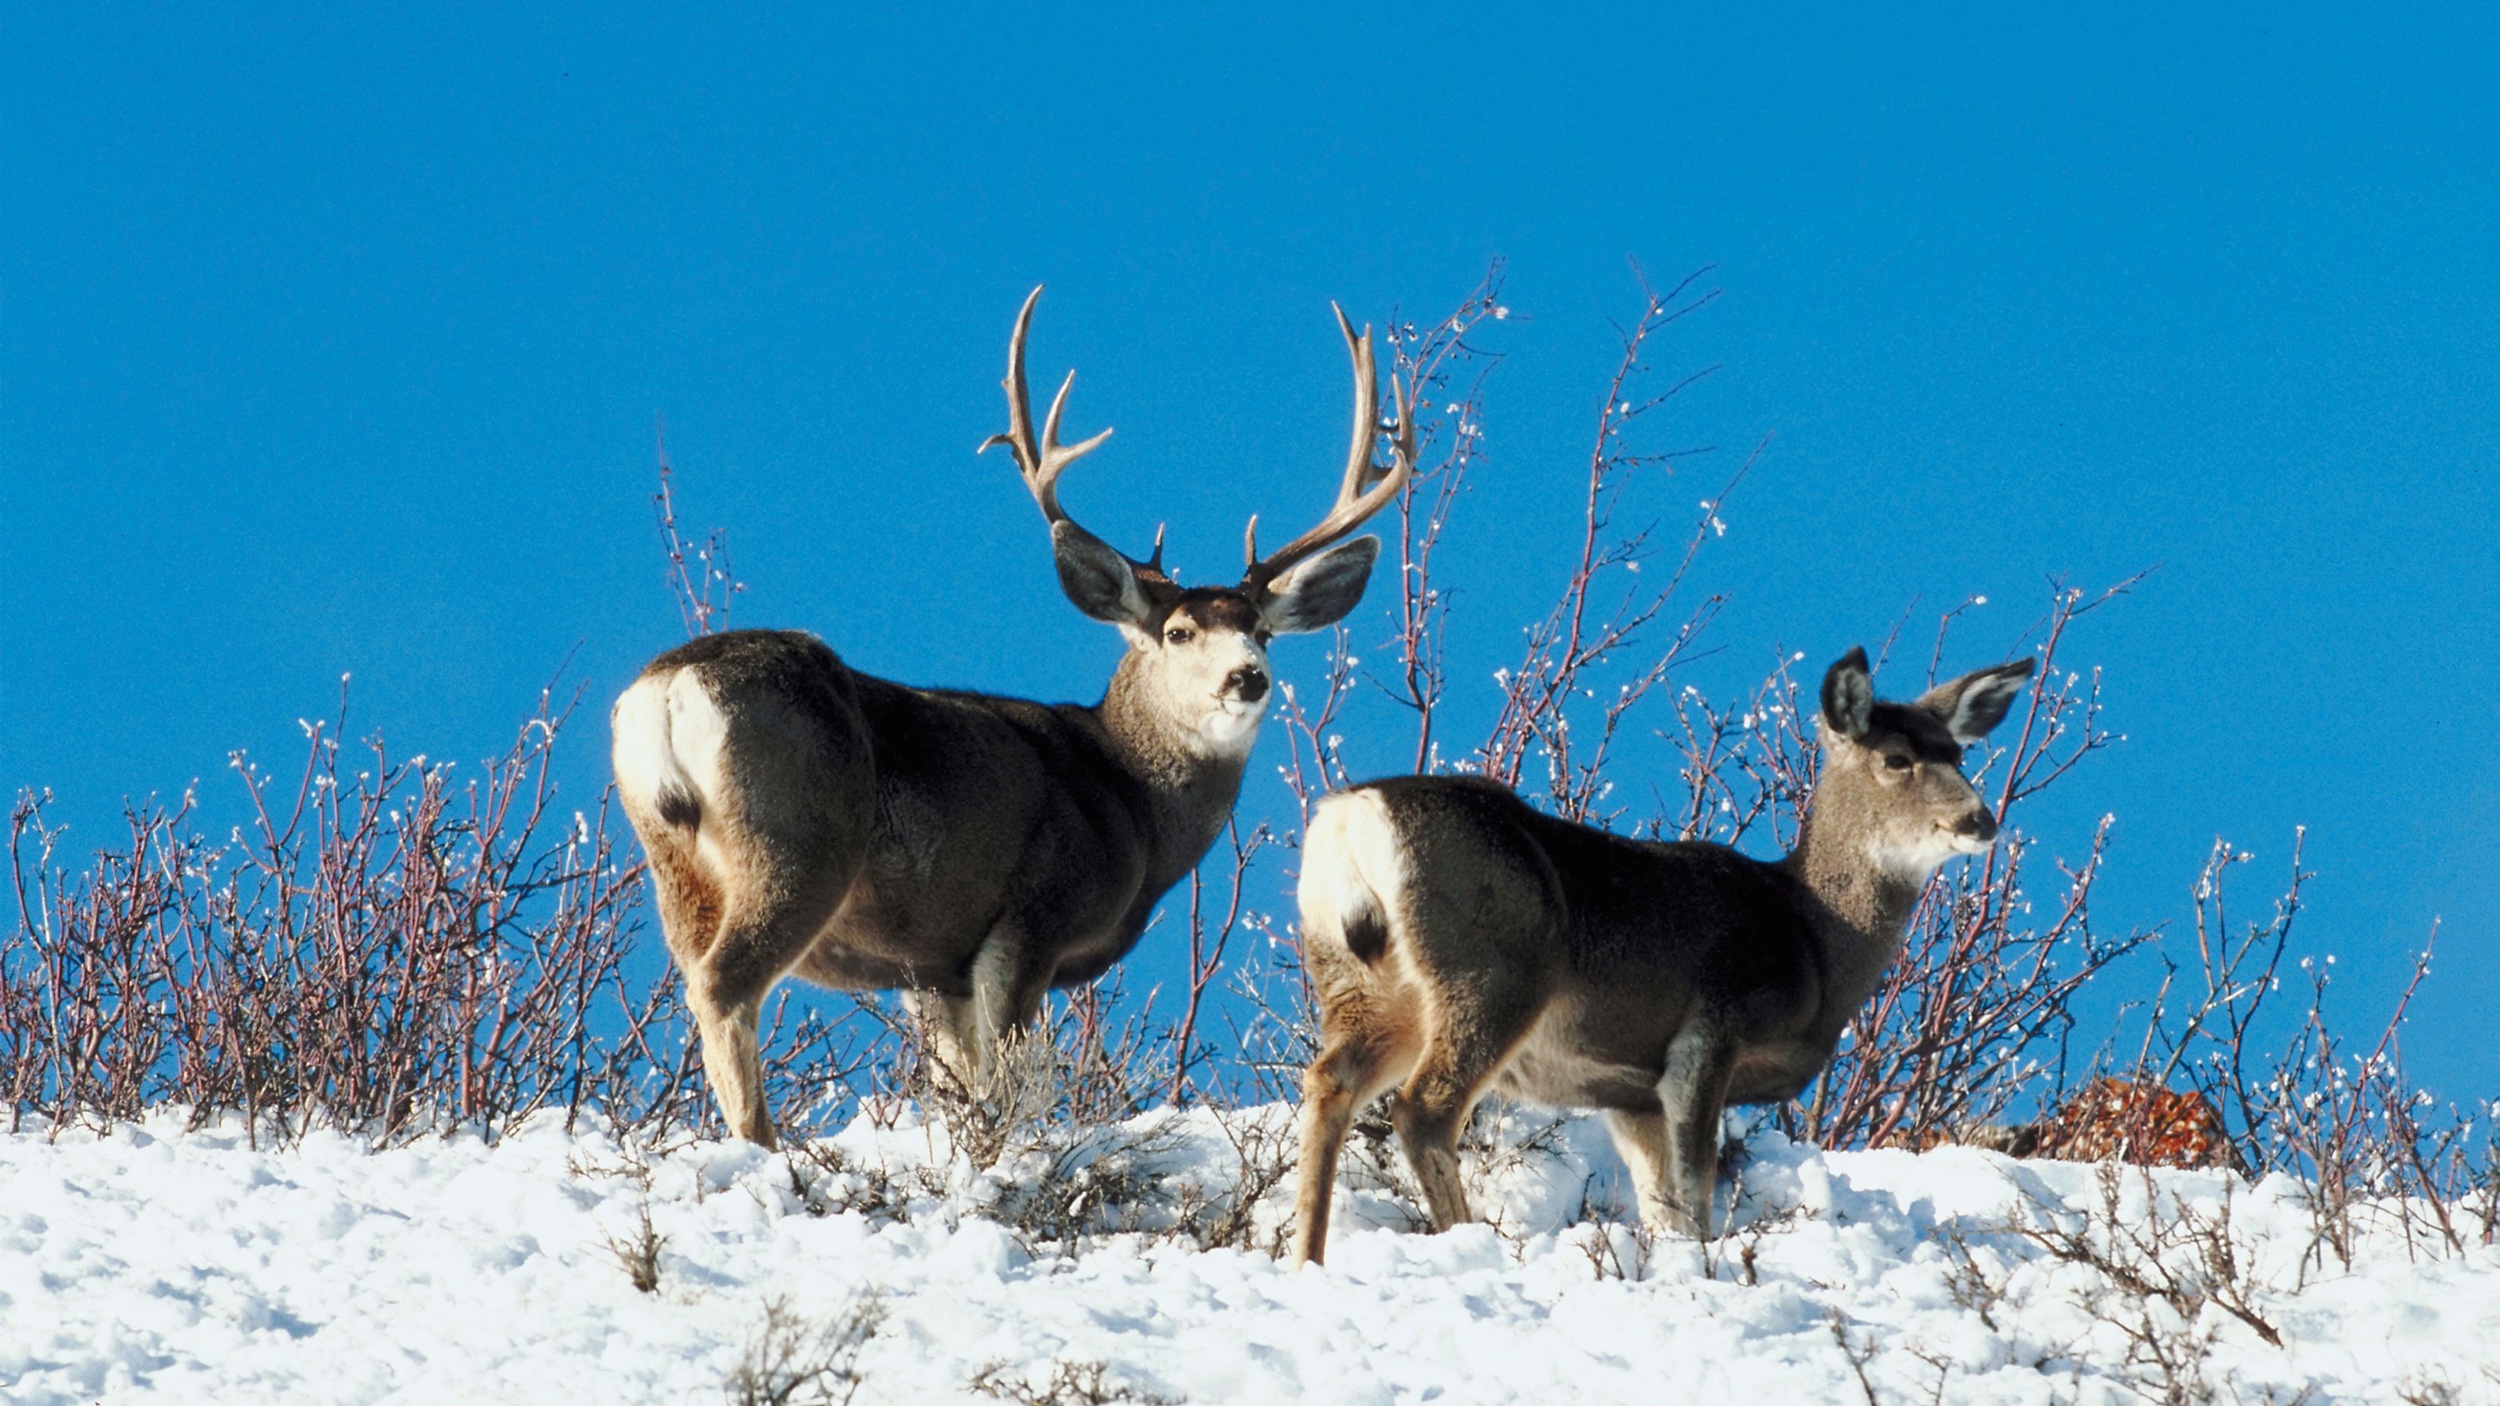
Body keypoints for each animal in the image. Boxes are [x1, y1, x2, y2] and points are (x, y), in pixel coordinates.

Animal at [611, 287, 1414, 1147]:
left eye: (1262, 630)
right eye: (1179, 632)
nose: (1249, 677)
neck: (1131, 802)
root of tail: (666, 689)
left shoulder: (935, 969)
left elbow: (954, 1086)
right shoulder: (1031, 920)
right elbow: (1008, 1084)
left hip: (676, 867)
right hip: (796, 841)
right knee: (726, 985)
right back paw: (762, 1150)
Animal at [1287, 646, 2037, 1264]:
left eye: (1959, 754)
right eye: (1896, 759)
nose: (1981, 820)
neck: (1813, 940)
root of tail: (1352, 816)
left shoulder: (1631, 1093)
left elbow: (1664, 1204)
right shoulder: (1714, 1027)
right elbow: (1695, 1185)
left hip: (1361, 984)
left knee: (1328, 1082)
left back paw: (1307, 1262)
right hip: (1492, 970)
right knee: (1424, 1109)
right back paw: (1470, 1245)